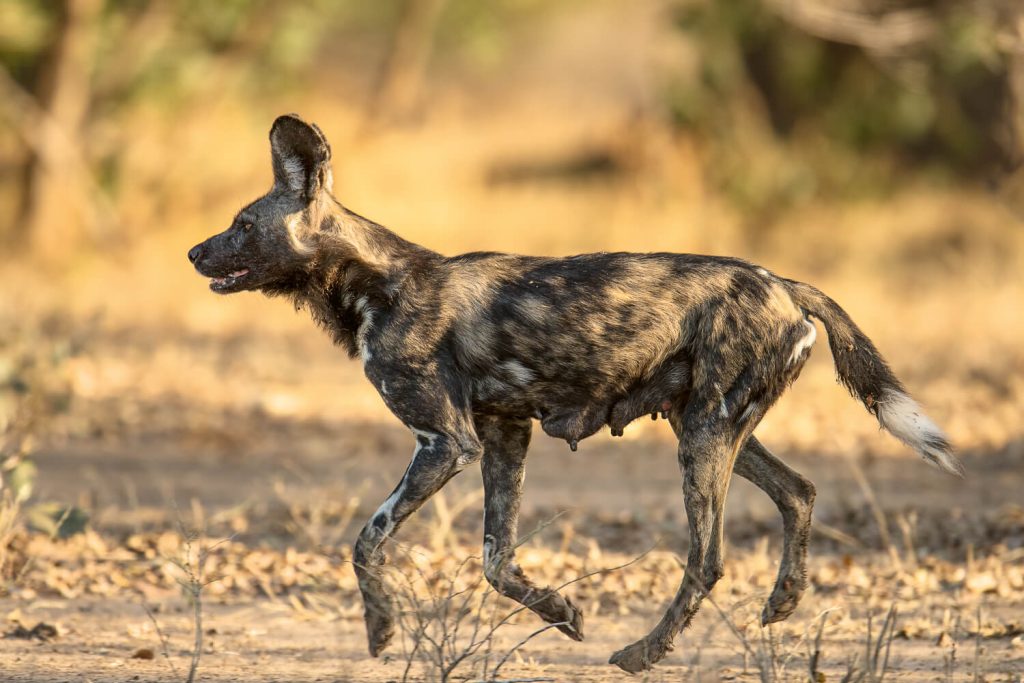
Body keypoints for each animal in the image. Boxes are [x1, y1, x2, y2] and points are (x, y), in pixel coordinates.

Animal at [188, 114, 962, 672]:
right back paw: (781, 604)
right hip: (709, 425)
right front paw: (562, 614)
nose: (194, 251)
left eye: (241, 224)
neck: (378, 283)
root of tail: (785, 283)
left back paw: (643, 653)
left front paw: (380, 630)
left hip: (704, 437)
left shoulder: (444, 444)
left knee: (707, 556)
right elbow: (496, 560)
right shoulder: (501, 434)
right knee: (797, 491)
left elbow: (366, 540)